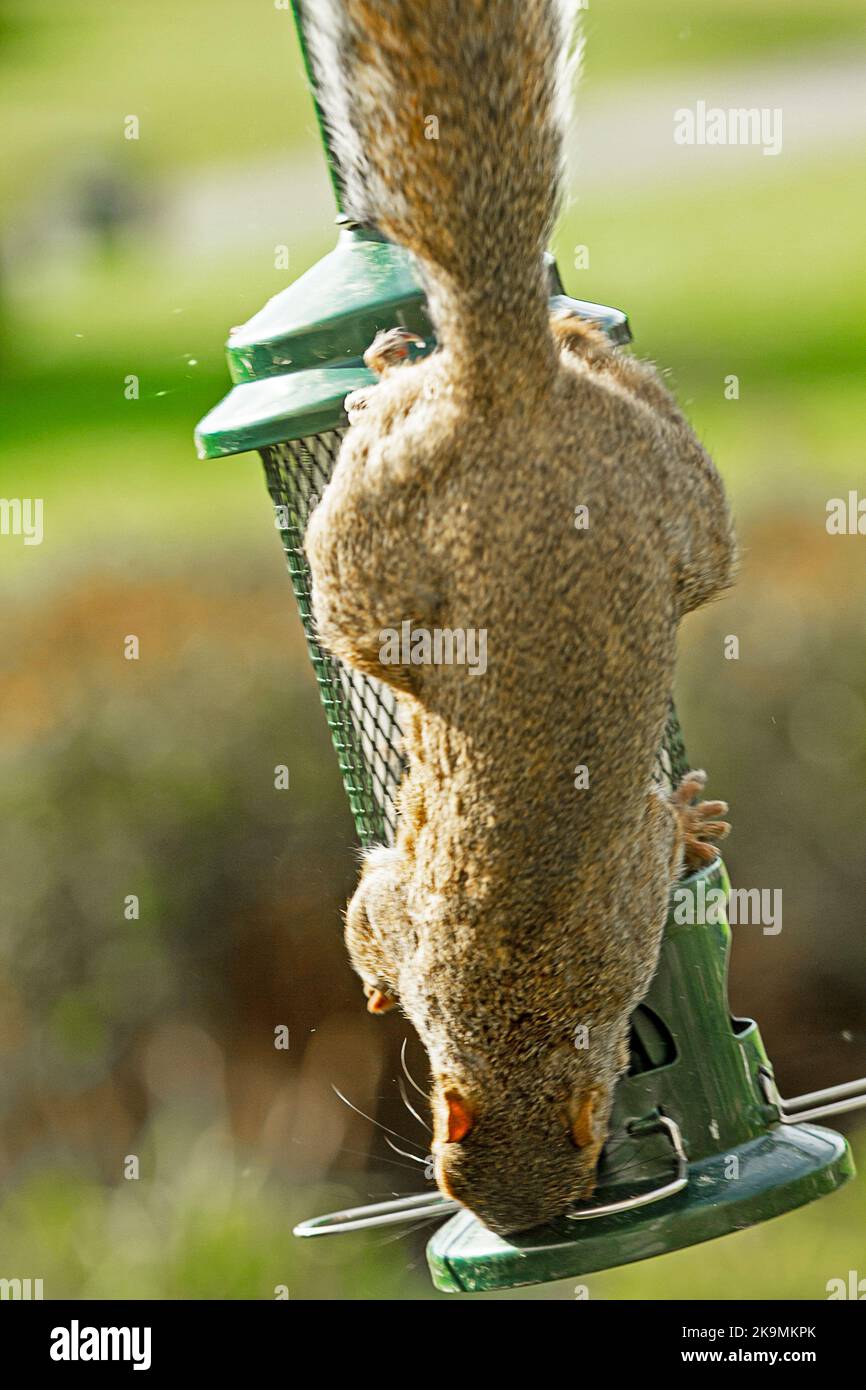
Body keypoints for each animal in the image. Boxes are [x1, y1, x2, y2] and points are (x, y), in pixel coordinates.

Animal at [301, 0, 736, 1235]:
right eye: (453, 1170)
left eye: (579, 1173)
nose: (513, 1227)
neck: (525, 1011)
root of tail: (512, 382)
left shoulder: (444, 916)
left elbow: (368, 918)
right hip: (674, 511)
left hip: (372, 565)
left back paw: (399, 370)